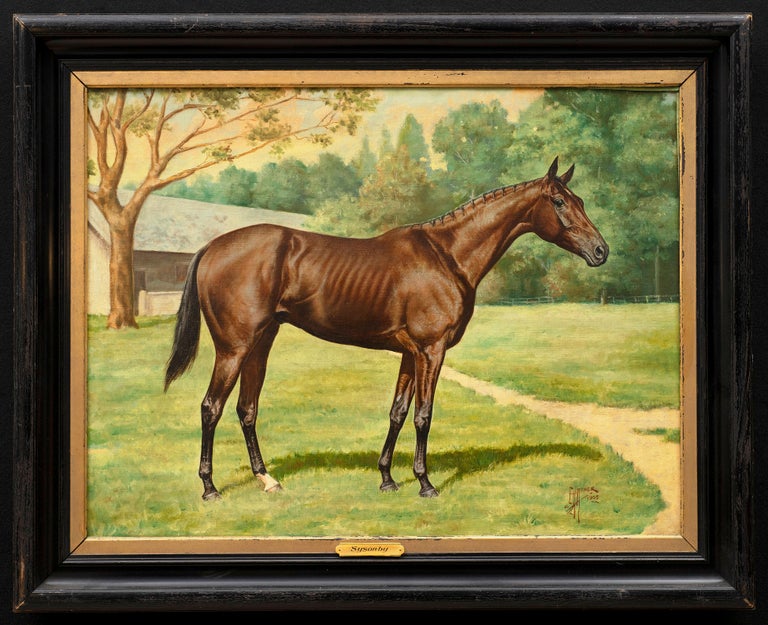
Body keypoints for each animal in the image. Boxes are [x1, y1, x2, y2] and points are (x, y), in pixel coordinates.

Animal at [164, 157, 608, 500]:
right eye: (559, 201)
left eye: (581, 200)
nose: (601, 250)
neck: (447, 256)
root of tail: (212, 247)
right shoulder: (431, 350)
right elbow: (423, 415)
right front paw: (425, 483)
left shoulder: (411, 354)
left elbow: (397, 412)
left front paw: (387, 479)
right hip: (234, 348)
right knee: (211, 407)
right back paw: (210, 488)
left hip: (260, 344)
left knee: (246, 409)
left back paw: (267, 480)